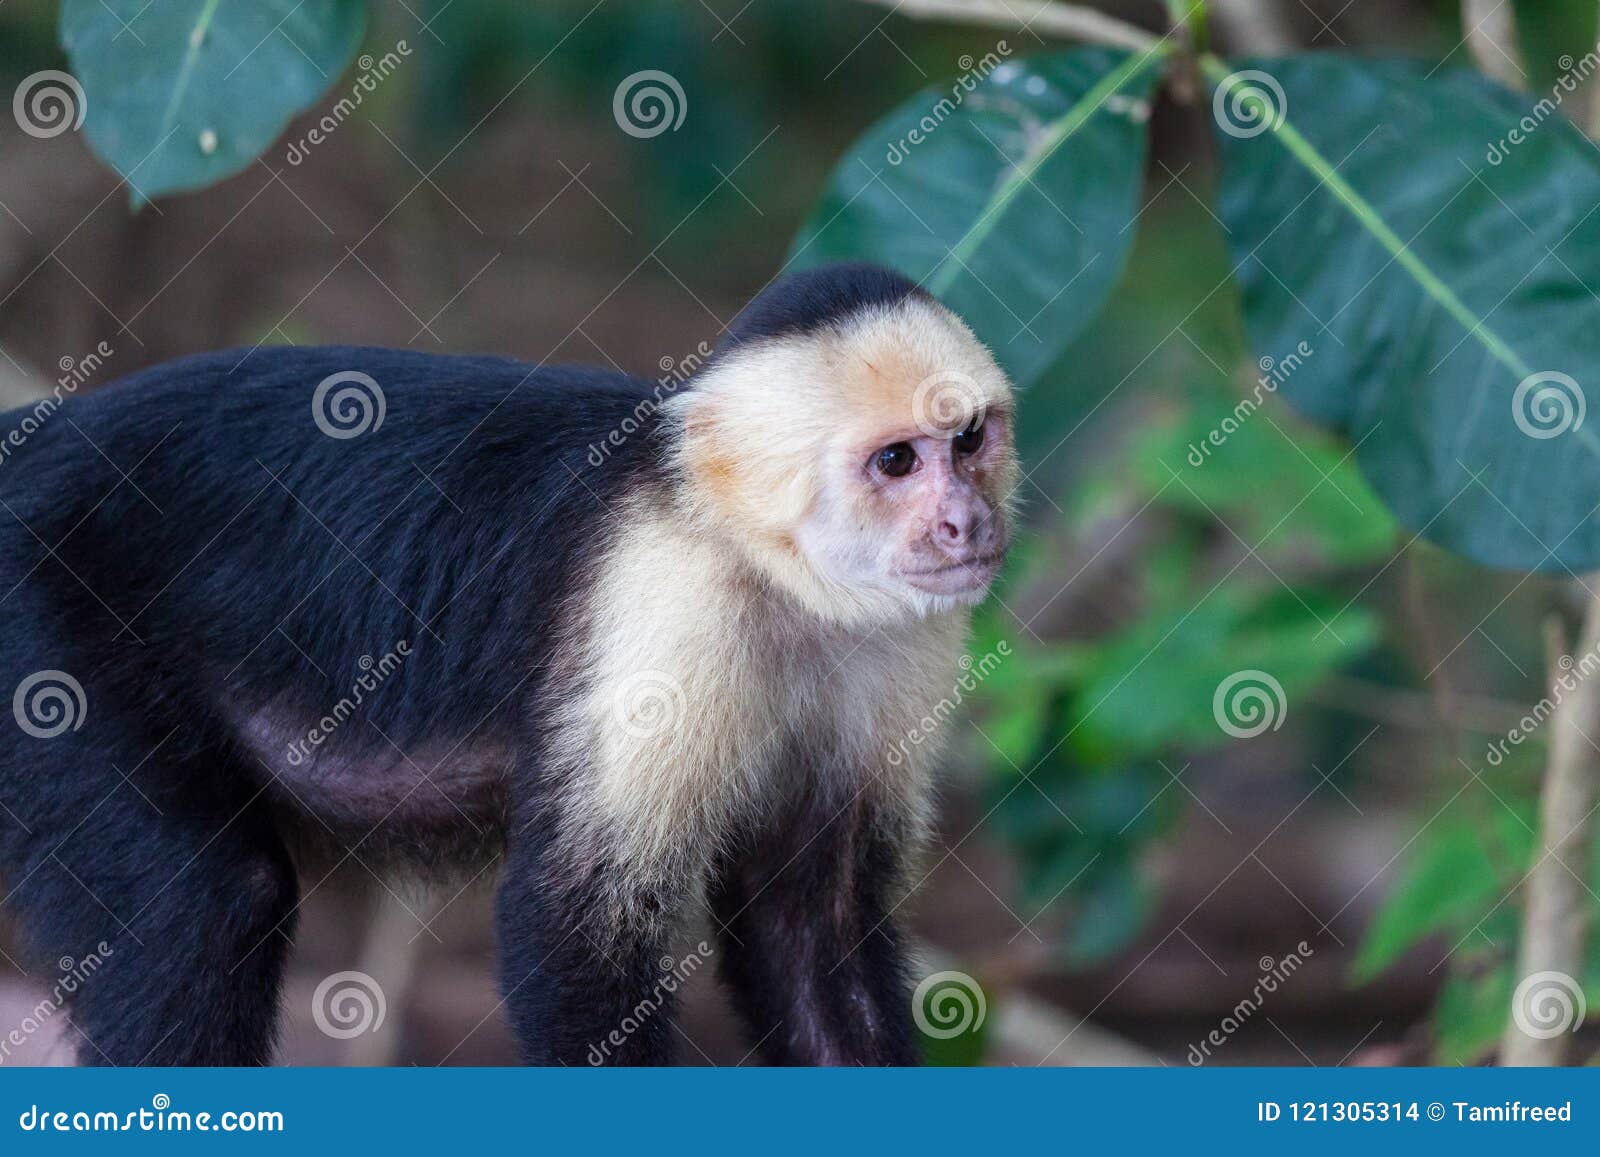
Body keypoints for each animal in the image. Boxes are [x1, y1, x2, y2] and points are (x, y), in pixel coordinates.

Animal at [0, 263, 1017, 1066]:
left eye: (968, 438)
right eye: (896, 461)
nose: (966, 522)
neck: (768, 568)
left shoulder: (903, 641)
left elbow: (810, 927)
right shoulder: (664, 602)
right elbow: (570, 929)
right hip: (33, 616)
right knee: (202, 900)